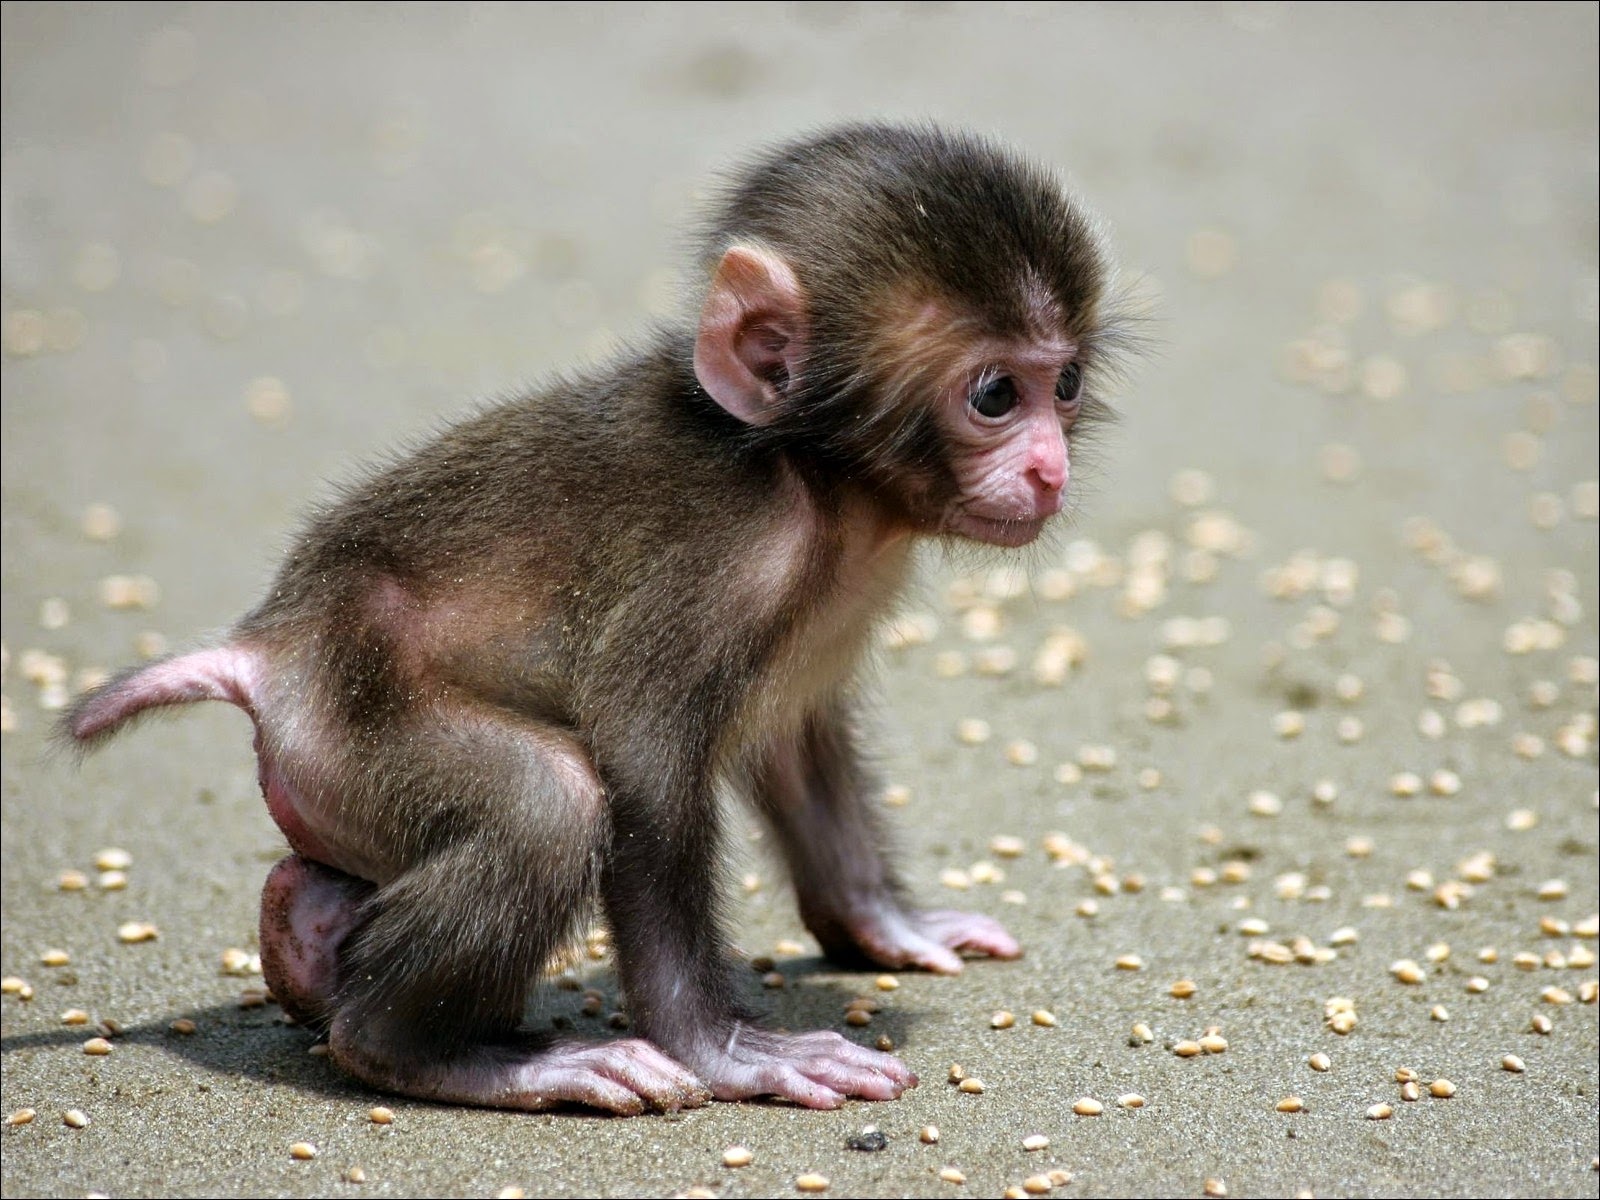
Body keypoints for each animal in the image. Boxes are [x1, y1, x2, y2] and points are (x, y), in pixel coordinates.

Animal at [63, 123, 1122, 1114]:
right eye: (996, 395)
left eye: (1064, 384)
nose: (1049, 470)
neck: (817, 479)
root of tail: (269, 648)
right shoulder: (727, 563)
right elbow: (642, 758)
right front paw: (724, 1051)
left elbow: (790, 741)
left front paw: (883, 925)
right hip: (349, 728)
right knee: (548, 801)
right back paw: (431, 1053)